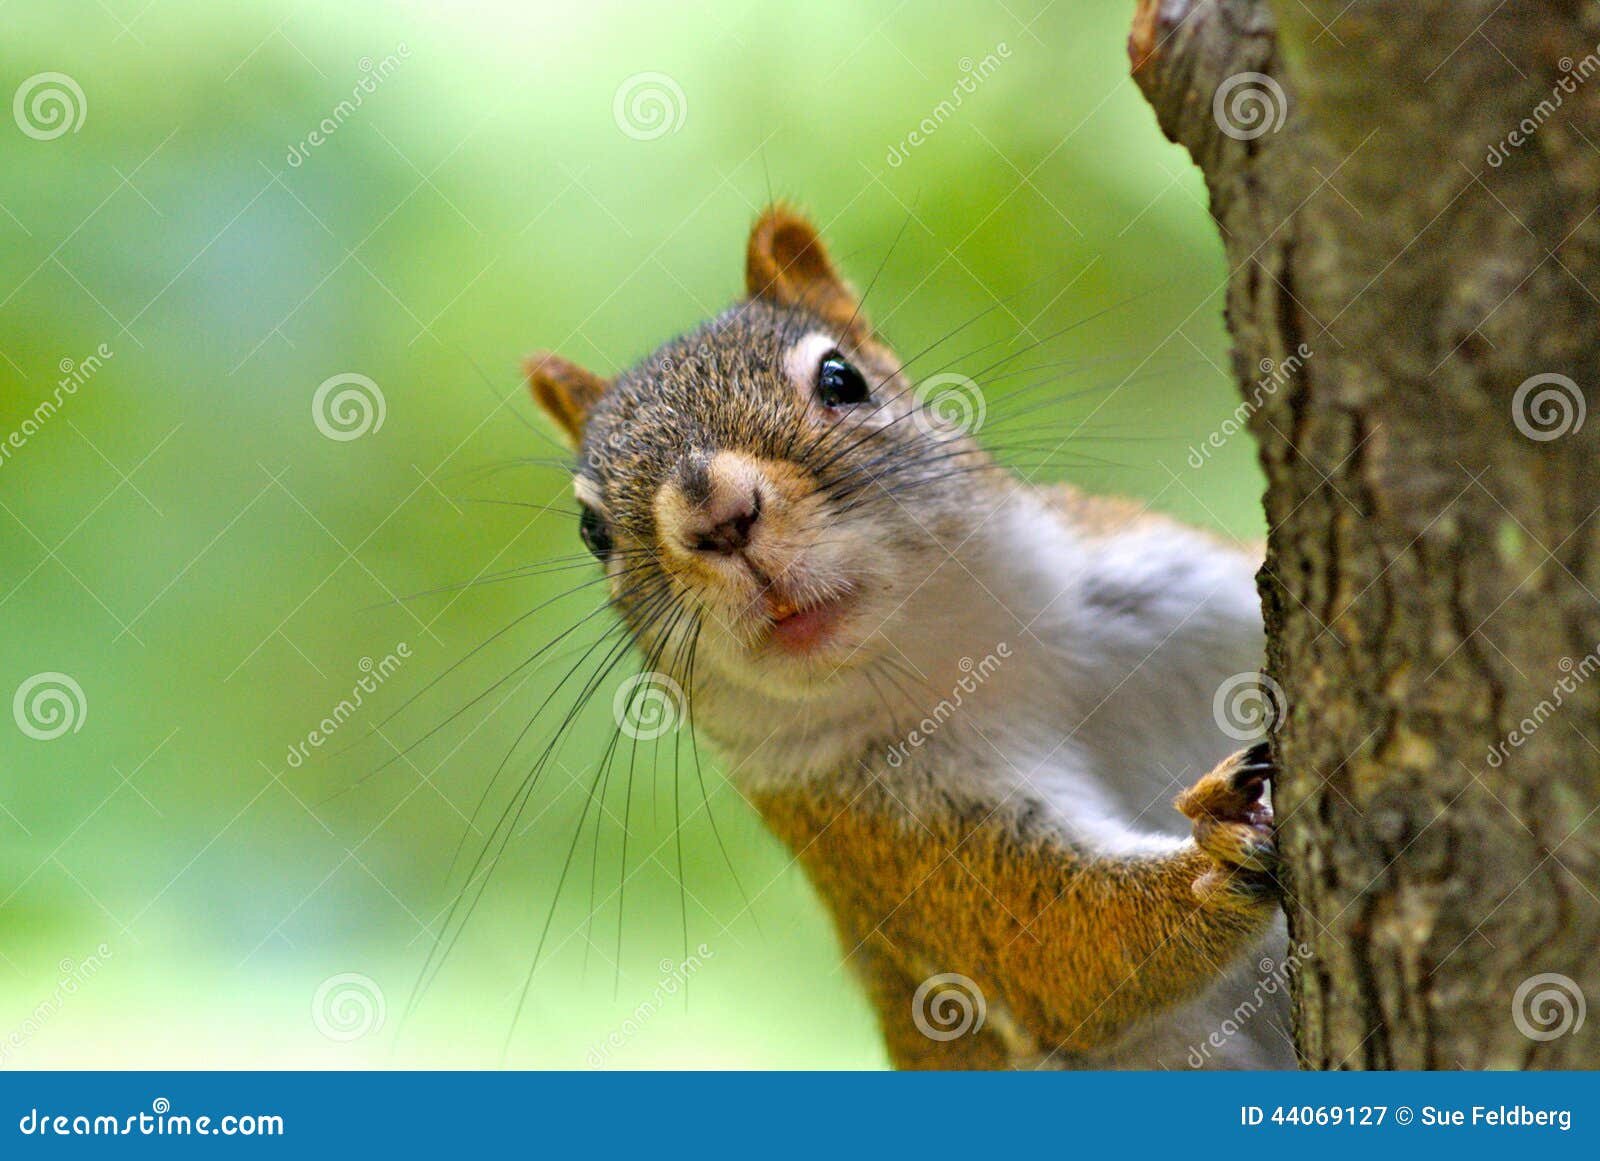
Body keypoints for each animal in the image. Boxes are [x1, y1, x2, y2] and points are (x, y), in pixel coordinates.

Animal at [524, 207, 1291, 1069]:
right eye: (592, 530)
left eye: (840, 379)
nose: (716, 517)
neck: (968, 653)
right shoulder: (881, 828)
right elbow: (1055, 937)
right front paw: (1217, 852)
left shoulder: (1179, 582)